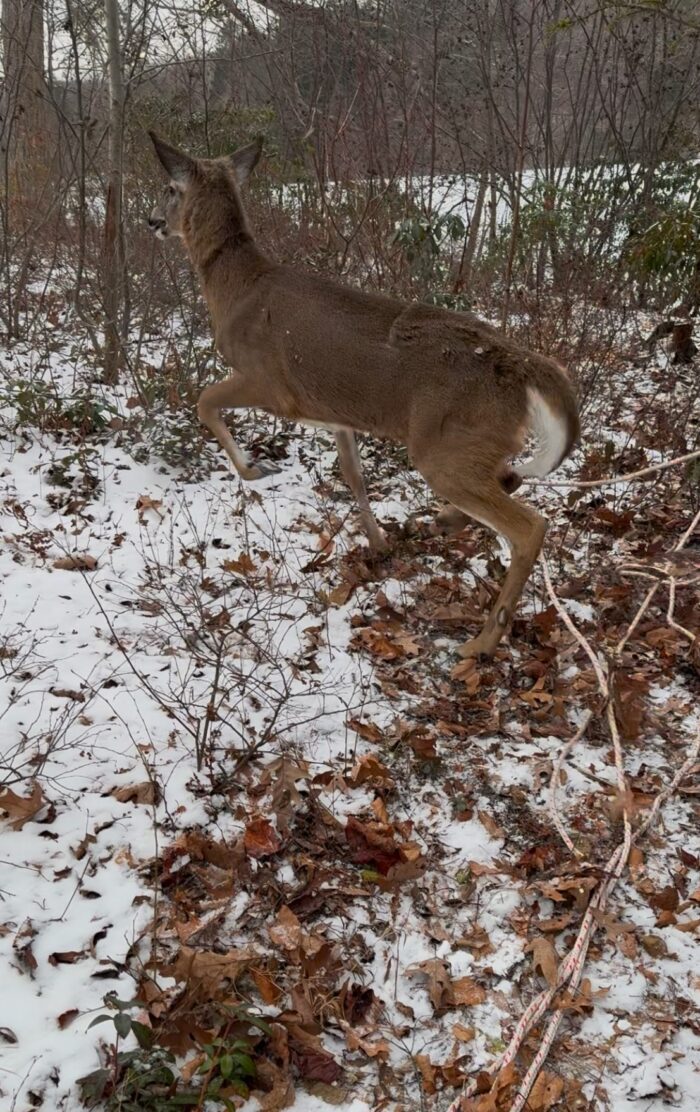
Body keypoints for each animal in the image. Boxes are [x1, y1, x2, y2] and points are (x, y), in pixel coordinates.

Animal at [148, 132, 579, 659]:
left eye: (170, 188)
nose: (152, 222)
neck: (234, 289)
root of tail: (520, 366)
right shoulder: (334, 412)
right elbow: (352, 473)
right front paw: (378, 543)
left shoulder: (269, 382)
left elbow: (204, 402)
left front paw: (252, 469)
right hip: (472, 443)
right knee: (511, 476)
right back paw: (443, 523)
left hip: (444, 447)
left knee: (529, 526)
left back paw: (481, 641)